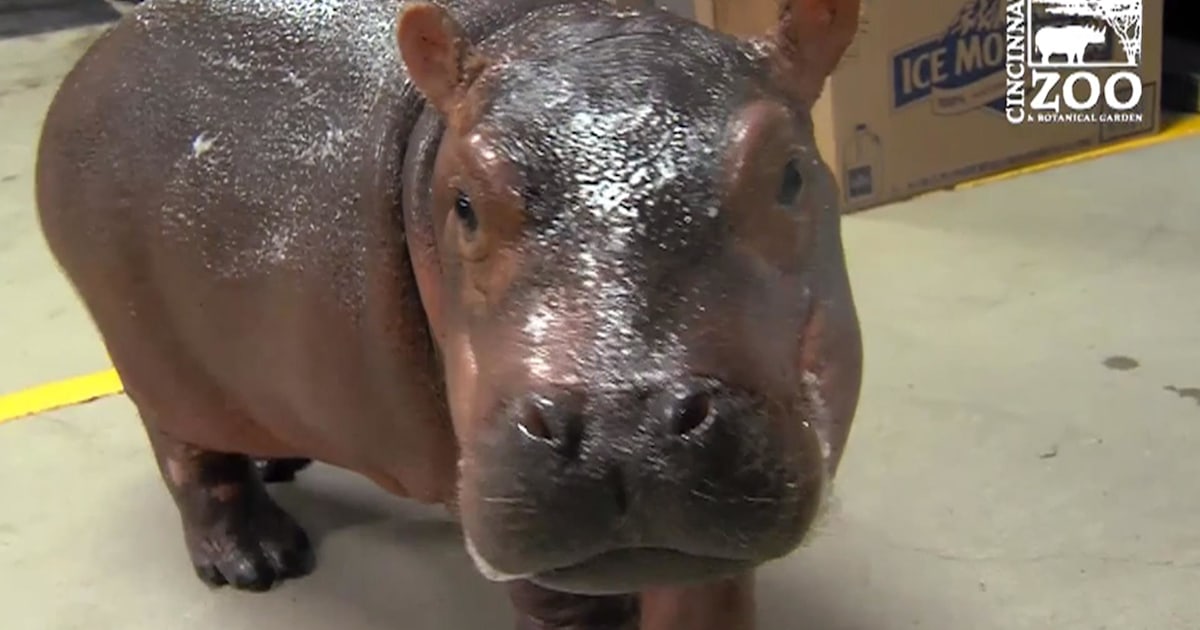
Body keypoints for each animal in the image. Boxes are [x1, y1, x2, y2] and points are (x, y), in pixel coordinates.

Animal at [35, 0, 864, 627]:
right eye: (463, 203)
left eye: (792, 173)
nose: (622, 428)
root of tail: (103, 50)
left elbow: (711, 598)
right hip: (150, 359)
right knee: (191, 458)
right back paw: (257, 560)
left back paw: (281, 463)